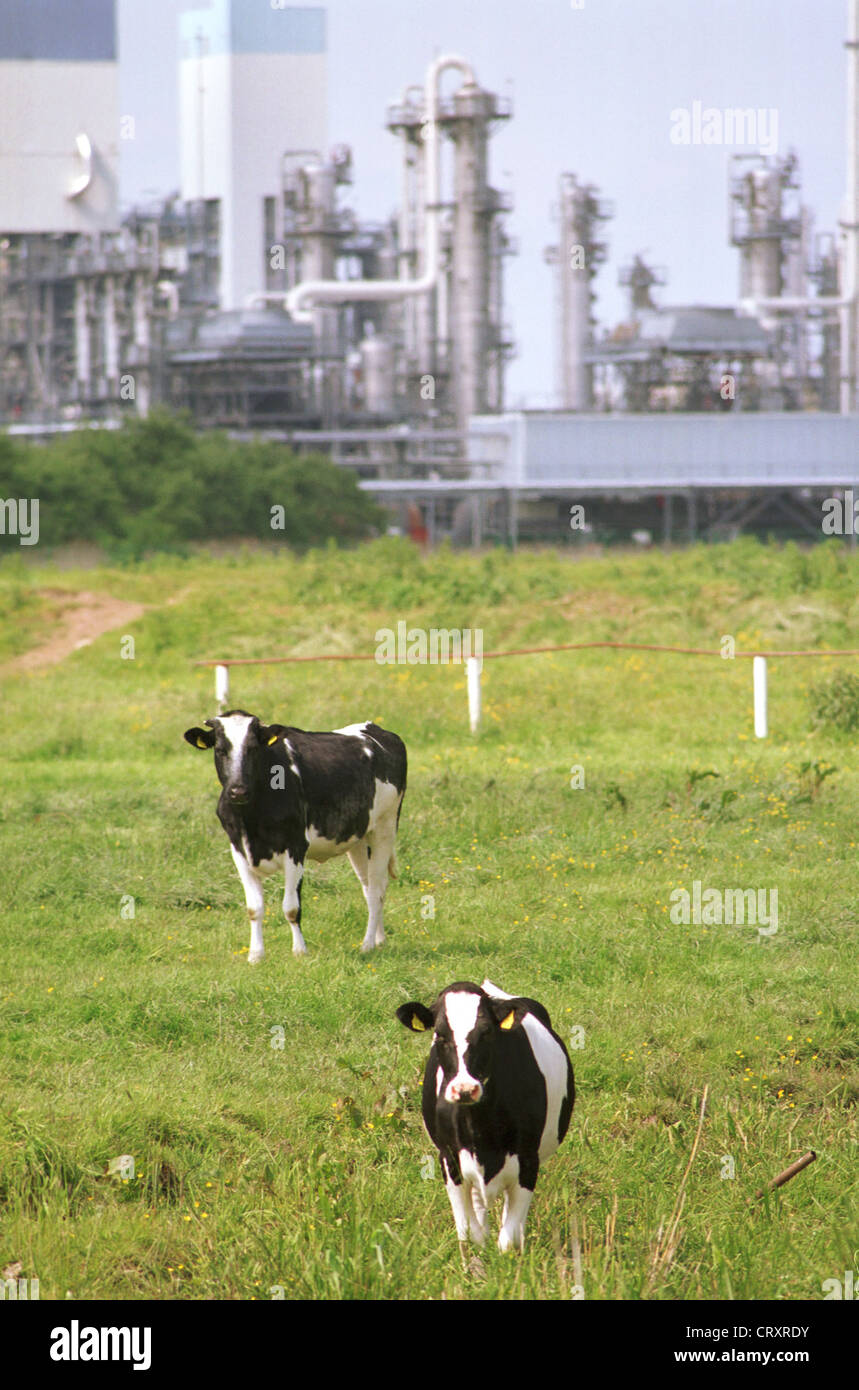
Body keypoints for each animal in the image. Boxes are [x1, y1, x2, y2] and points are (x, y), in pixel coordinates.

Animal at [183, 710, 406, 961]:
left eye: (253, 748)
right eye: (220, 750)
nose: (238, 791)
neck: (252, 819)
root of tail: (376, 729)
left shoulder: (296, 846)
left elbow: (291, 907)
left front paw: (299, 951)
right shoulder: (239, 850)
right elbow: (254, 908)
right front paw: (256, 955)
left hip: (385, 827)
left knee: (377, 889)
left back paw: (367, 944)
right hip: (359, 838)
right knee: (369, 888)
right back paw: (379, 940)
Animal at [396, 978, 574, 1254]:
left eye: (487, 1032)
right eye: (439, 1035)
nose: (465, 1088)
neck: (481, 1128)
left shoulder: (528, 1161)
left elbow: (508, 1239)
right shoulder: (450, 1160)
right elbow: (470, 1234)